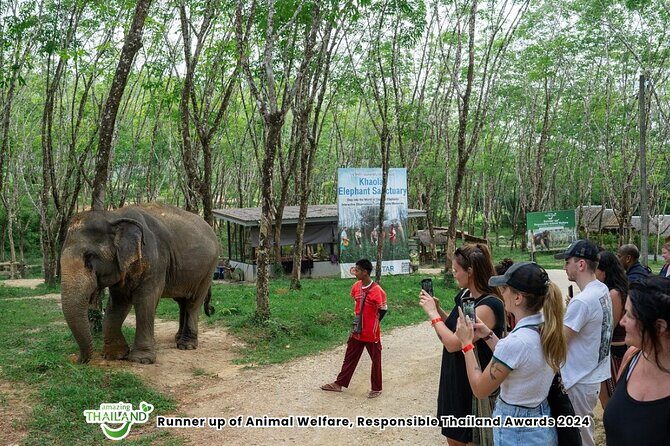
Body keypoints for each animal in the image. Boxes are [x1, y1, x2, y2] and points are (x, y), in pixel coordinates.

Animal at [60, 203, 218, 364]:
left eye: (89, 257)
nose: (77, 360)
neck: (114, 215)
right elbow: (118, 304)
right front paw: (115, 355)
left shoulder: (155, 260)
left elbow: (145, 301)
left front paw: (141, 359)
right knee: (182, 302)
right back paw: (178, 338)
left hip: (208, 269)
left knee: (193, 302)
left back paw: (186, 345)